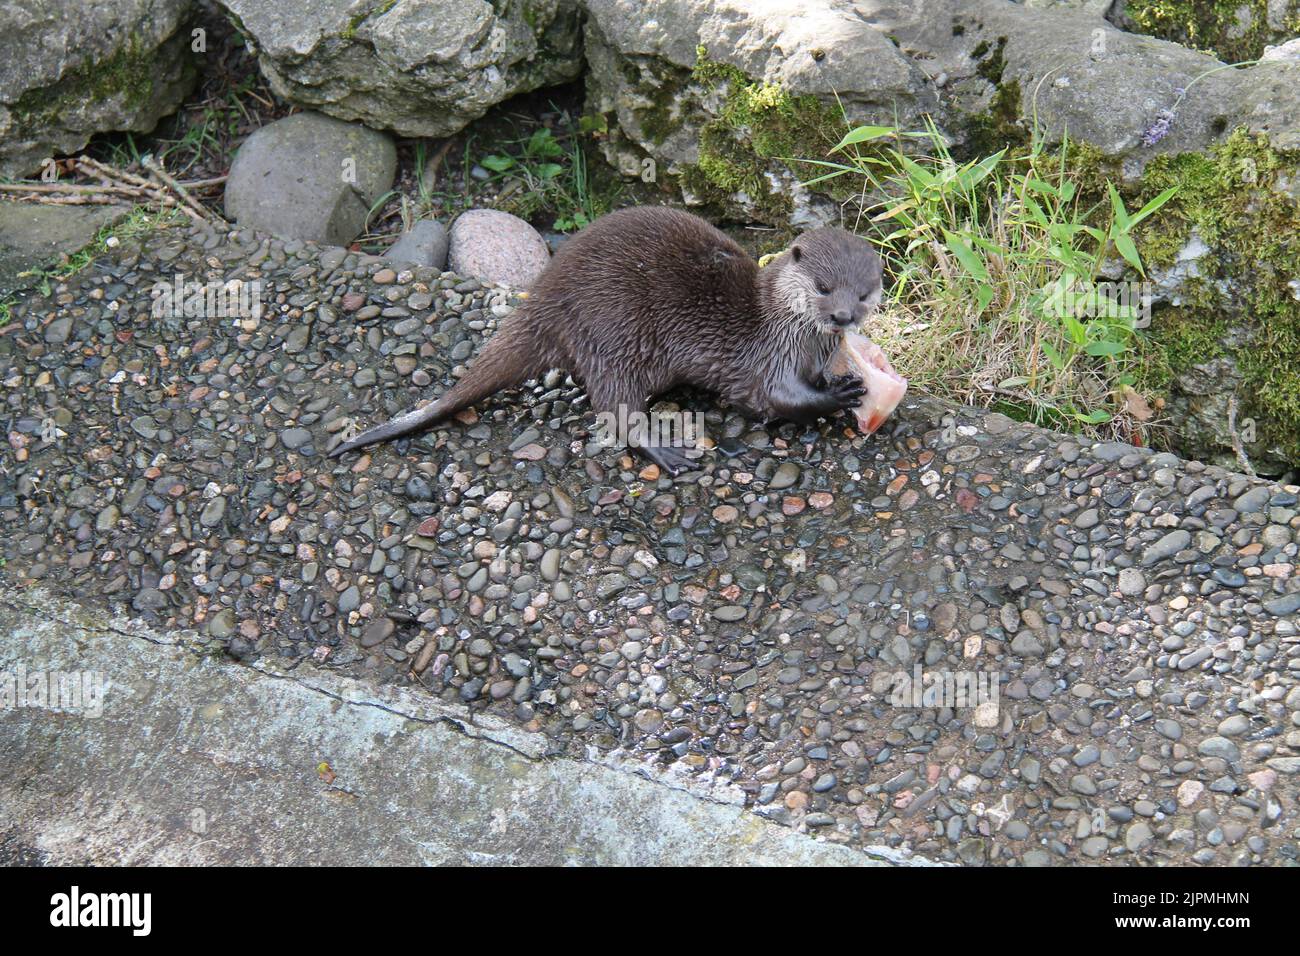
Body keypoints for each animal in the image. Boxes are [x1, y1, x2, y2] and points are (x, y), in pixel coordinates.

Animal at [328, 206, 884, 475]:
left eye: (865, 292)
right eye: (823, 287)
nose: (841, 316)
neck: (788, 328)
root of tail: (545, 298)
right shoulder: (765, 356)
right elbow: (774, 399)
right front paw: (841, 394)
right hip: (616, 335)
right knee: (615, 409)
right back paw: (666, 452)